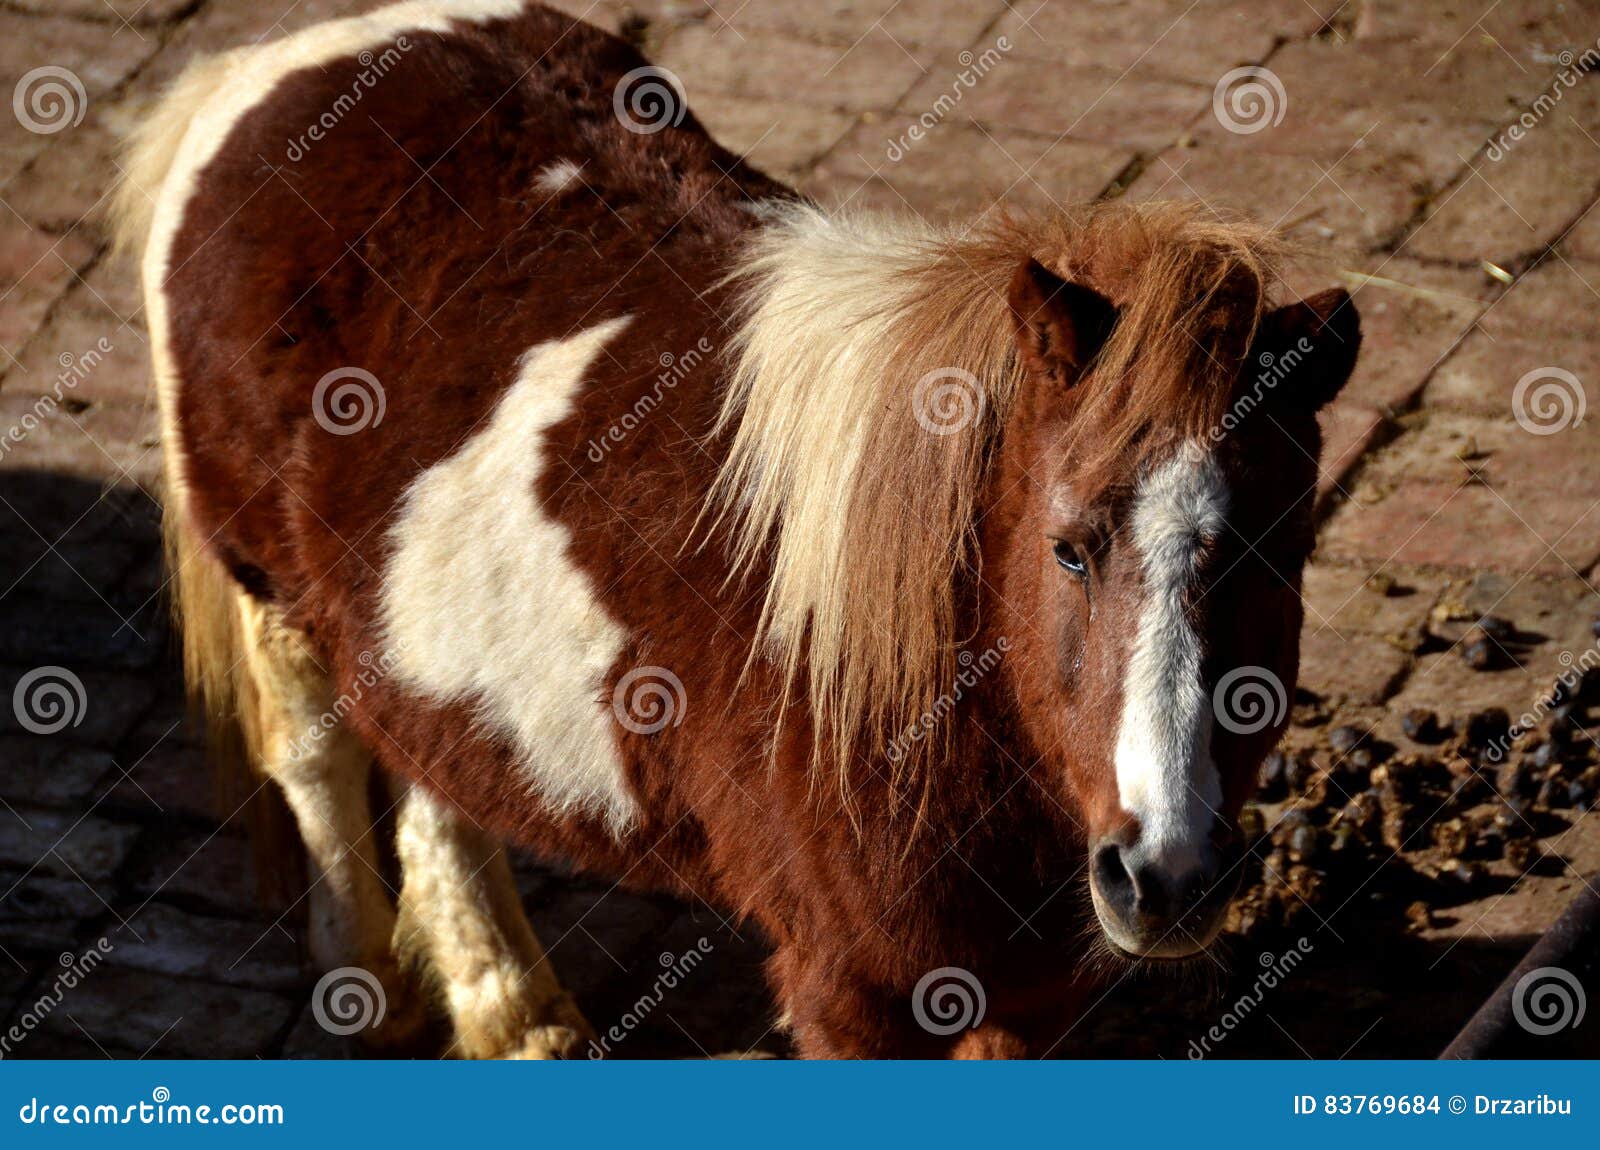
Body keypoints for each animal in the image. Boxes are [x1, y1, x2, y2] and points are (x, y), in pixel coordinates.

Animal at [109, 0, 1361, 1058]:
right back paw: (370, 995)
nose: (1167, 874)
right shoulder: (856, 993)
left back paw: (517, 1016)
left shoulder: (1027, 992)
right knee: (316, 755)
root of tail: (277, 64)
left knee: (436, 777)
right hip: (271, 590)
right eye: (1069, 547)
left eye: (1275, 556)